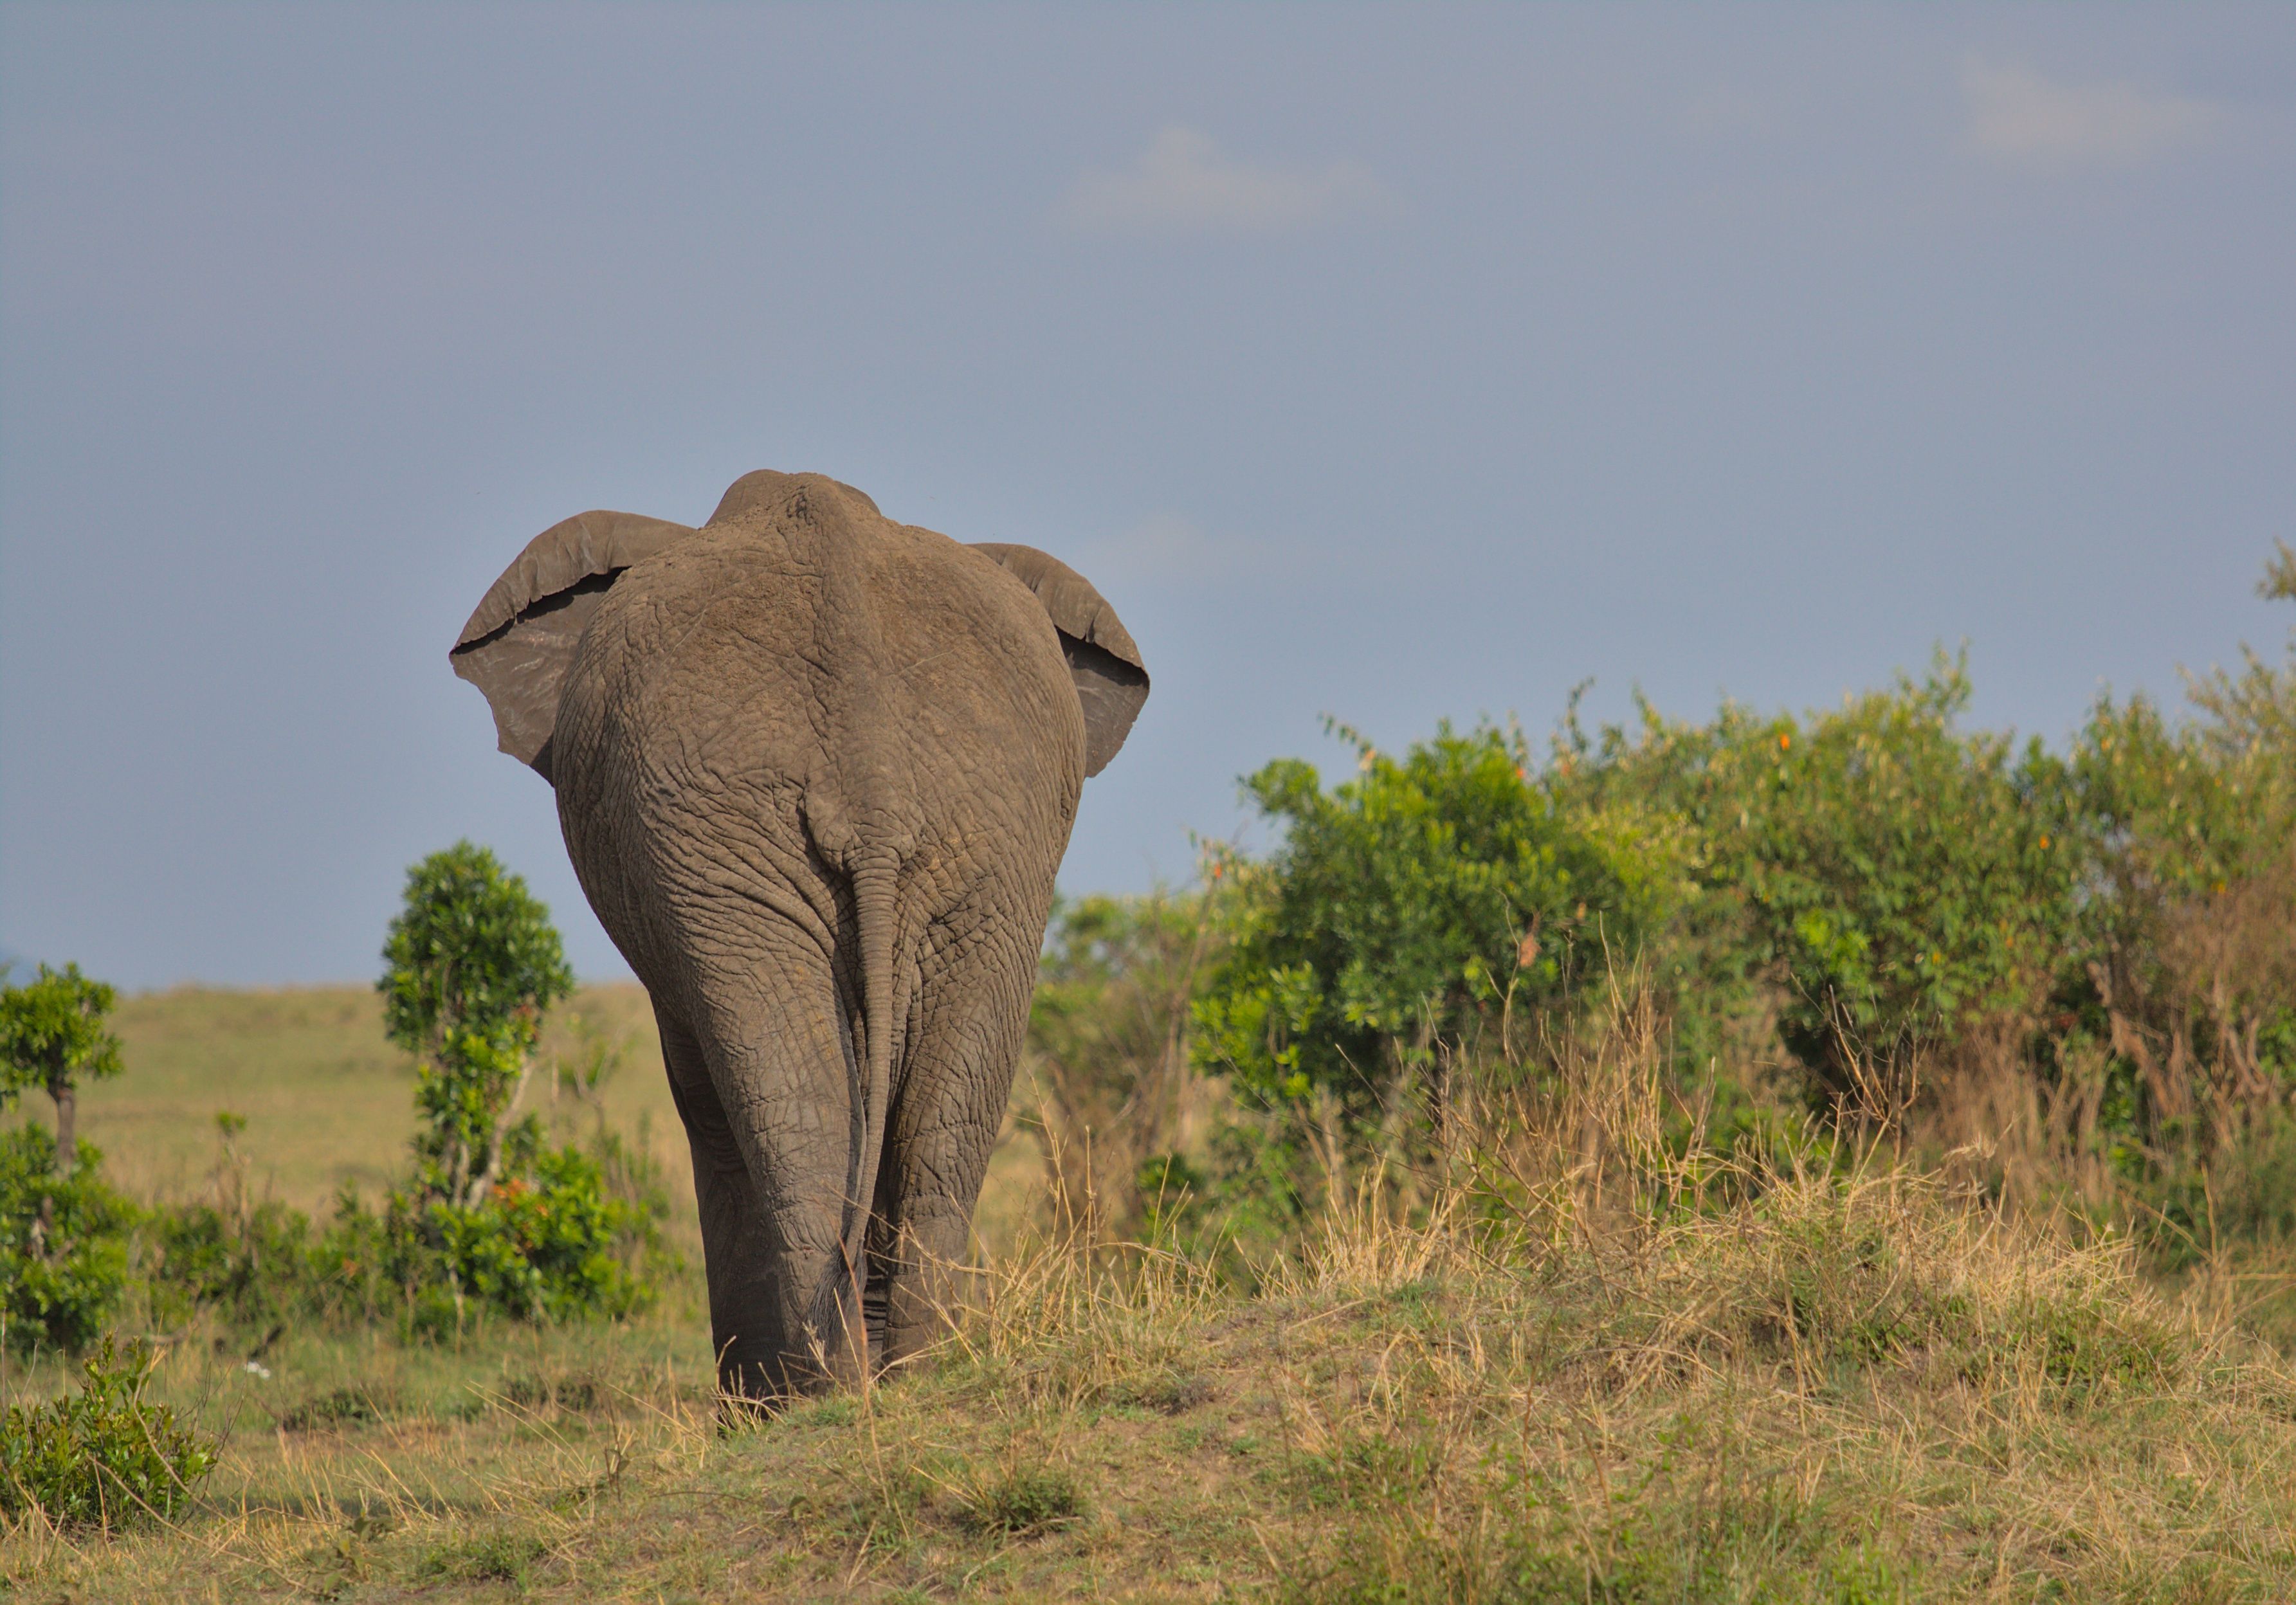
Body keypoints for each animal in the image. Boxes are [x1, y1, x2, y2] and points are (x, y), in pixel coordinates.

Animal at [448, 469, 1148, 1401]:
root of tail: (873, 789)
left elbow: (703, 1103)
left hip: (729, 837)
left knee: (793, 1120)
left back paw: (826, 1397)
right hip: (980, 839)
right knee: (933, 1138)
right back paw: (905, 1380)